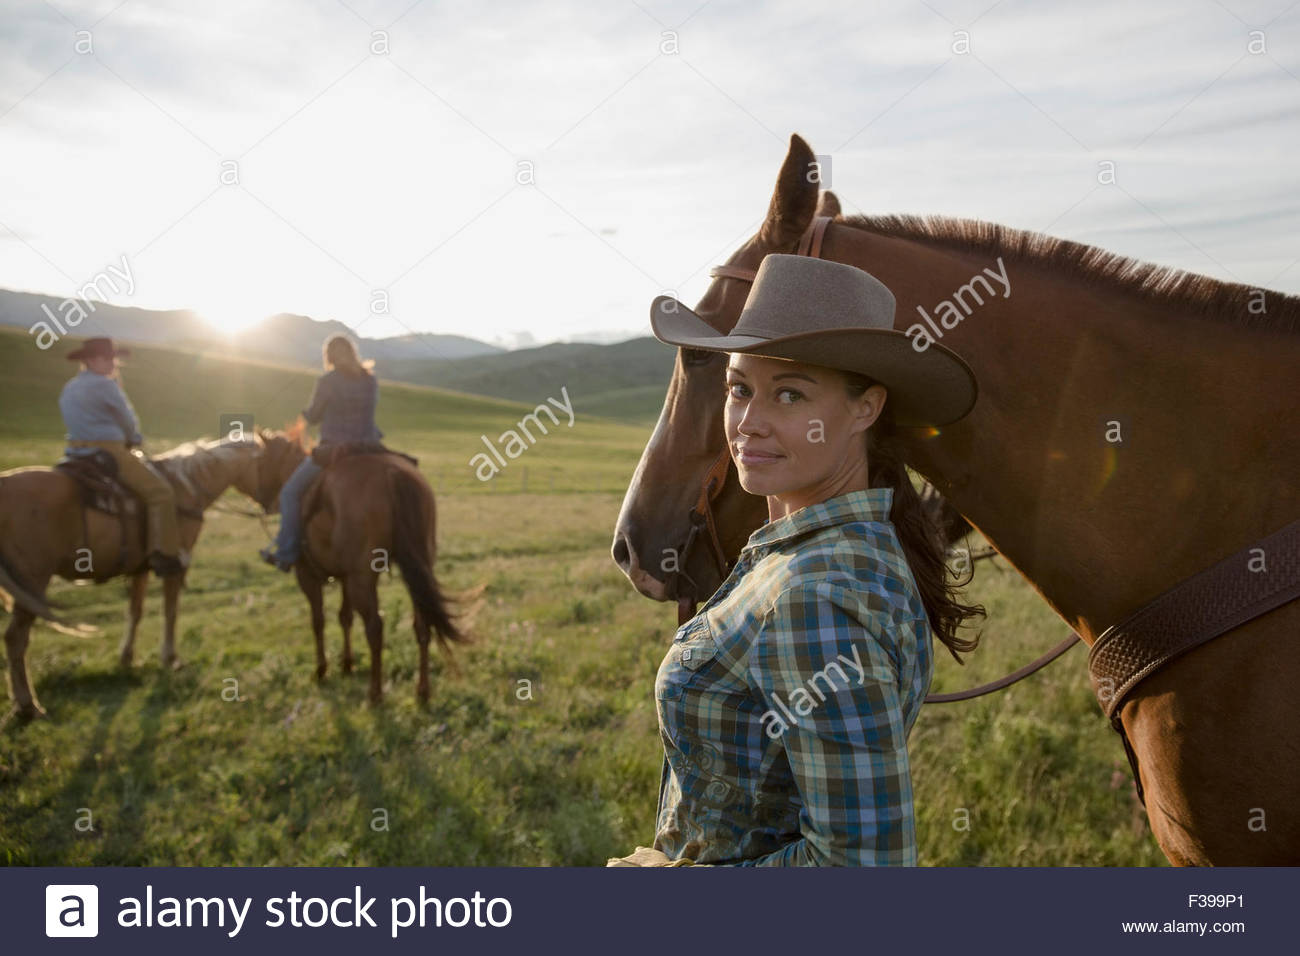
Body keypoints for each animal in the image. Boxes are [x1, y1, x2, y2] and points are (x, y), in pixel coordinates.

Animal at [0, 429, 305, 719]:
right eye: (289, 461)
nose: (281, 506)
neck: (184, 488)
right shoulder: (176, 564)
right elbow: (171, 611)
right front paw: (170, 658)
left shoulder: (141, 569)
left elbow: (135, 612)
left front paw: (126, 657)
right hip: (34, 580)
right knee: (16, 638)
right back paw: (27, 706)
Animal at [290, 449, 469, 705]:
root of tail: (393, 474)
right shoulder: (345, 578)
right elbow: (345, 617)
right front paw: (347, 664)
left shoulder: (307, 575)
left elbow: (318, 620)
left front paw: (322, 670)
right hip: (416, 568)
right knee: (422, 624)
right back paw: (422, 692)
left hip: (362, 579)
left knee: (375, 627)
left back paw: (375, 694)